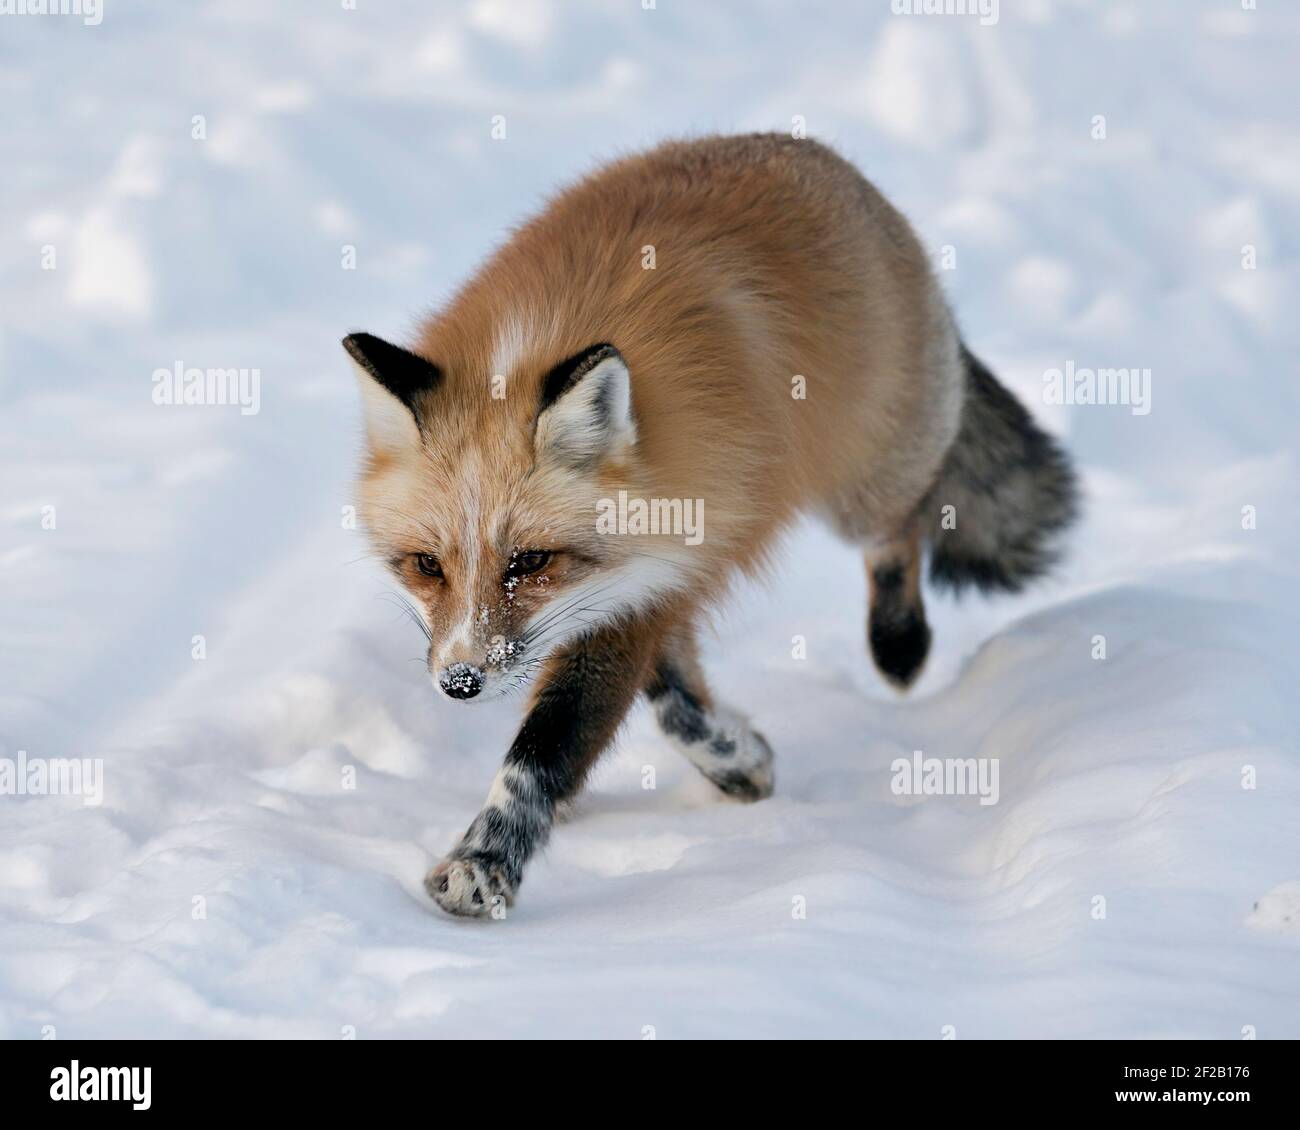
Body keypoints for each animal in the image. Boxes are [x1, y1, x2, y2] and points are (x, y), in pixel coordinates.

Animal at [343, 133, 1077, 918]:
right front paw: (742, 761)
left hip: (867, 480)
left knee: (901, 529)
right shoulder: (651, 579)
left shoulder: (649, 585)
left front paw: (484, 861)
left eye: (530, 562)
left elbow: (550, 747)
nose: (460, 683)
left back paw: (899, 641)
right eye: (427, 565)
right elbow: (677, 706)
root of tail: (819, 156)